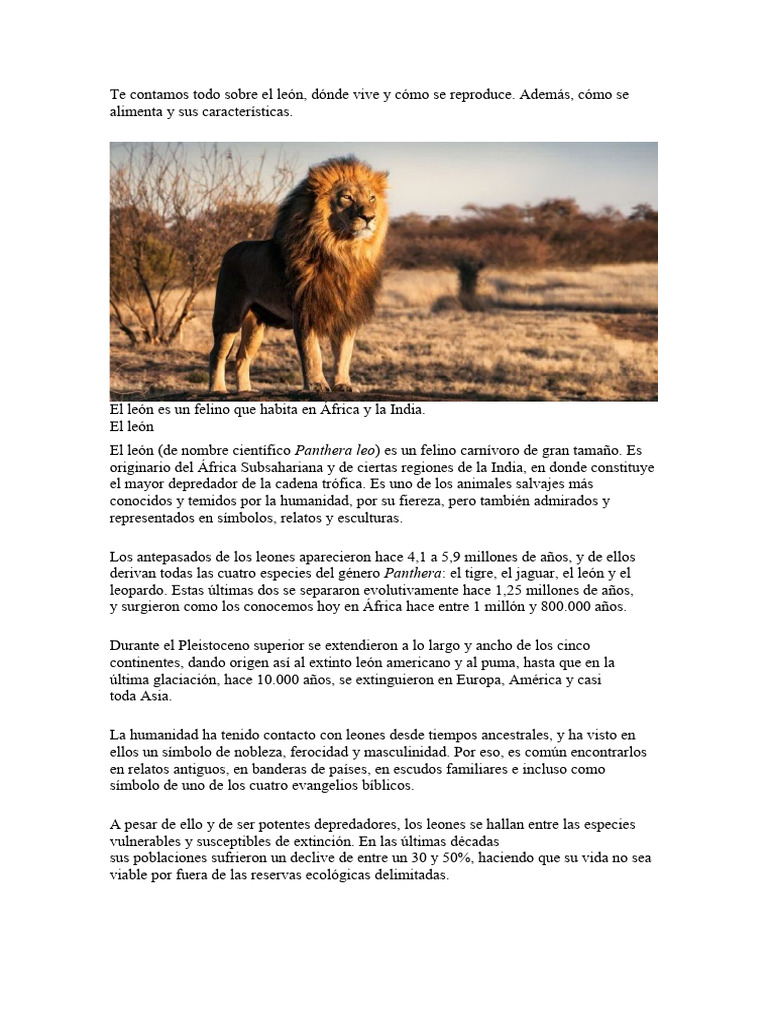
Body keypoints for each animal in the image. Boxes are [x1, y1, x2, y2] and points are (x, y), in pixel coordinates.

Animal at [209, 156, 389, 393]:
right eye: (347, 197)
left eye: (371, 198)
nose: (369, 217)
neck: (343, 252)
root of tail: (230, 249)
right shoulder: (305, 310)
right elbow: (313, 354)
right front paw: (317, 385)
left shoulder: (346, 314)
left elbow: (344, 354)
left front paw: (343, 384)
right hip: (229, 314)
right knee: (217, 354)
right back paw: (218, 389)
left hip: (256, 323)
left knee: (242, 358)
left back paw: (246, 391)